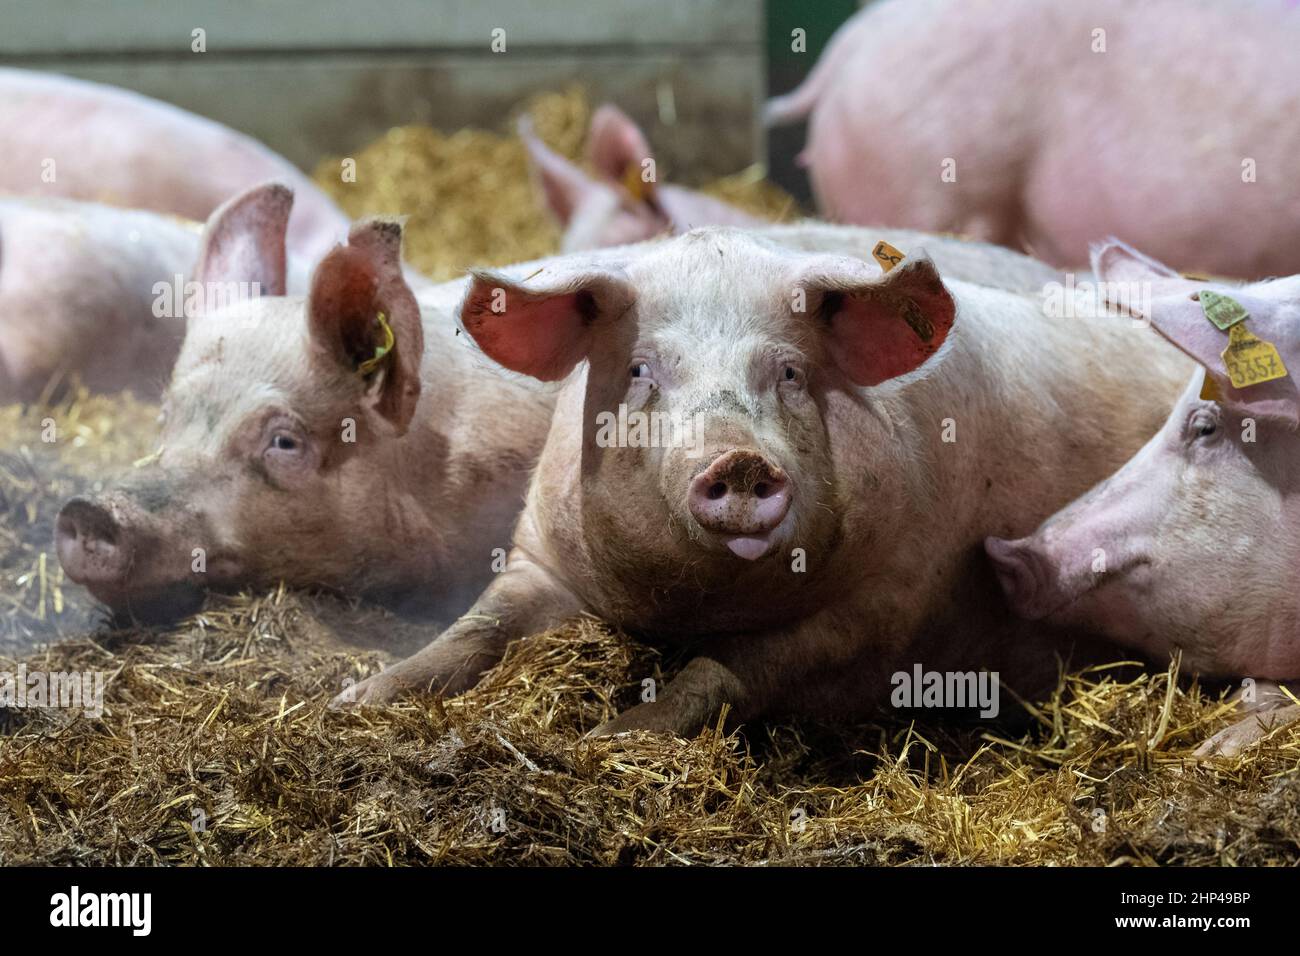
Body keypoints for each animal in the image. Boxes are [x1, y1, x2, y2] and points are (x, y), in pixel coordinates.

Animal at [336, 226, 1192, 735]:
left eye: (788, 371)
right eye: (641, 369)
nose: (739, 460)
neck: (692, 603)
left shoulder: (884, 600)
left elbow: (726, 671)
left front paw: (618, 737)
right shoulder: (542, 552)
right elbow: (476, 628)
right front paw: (351, 702)